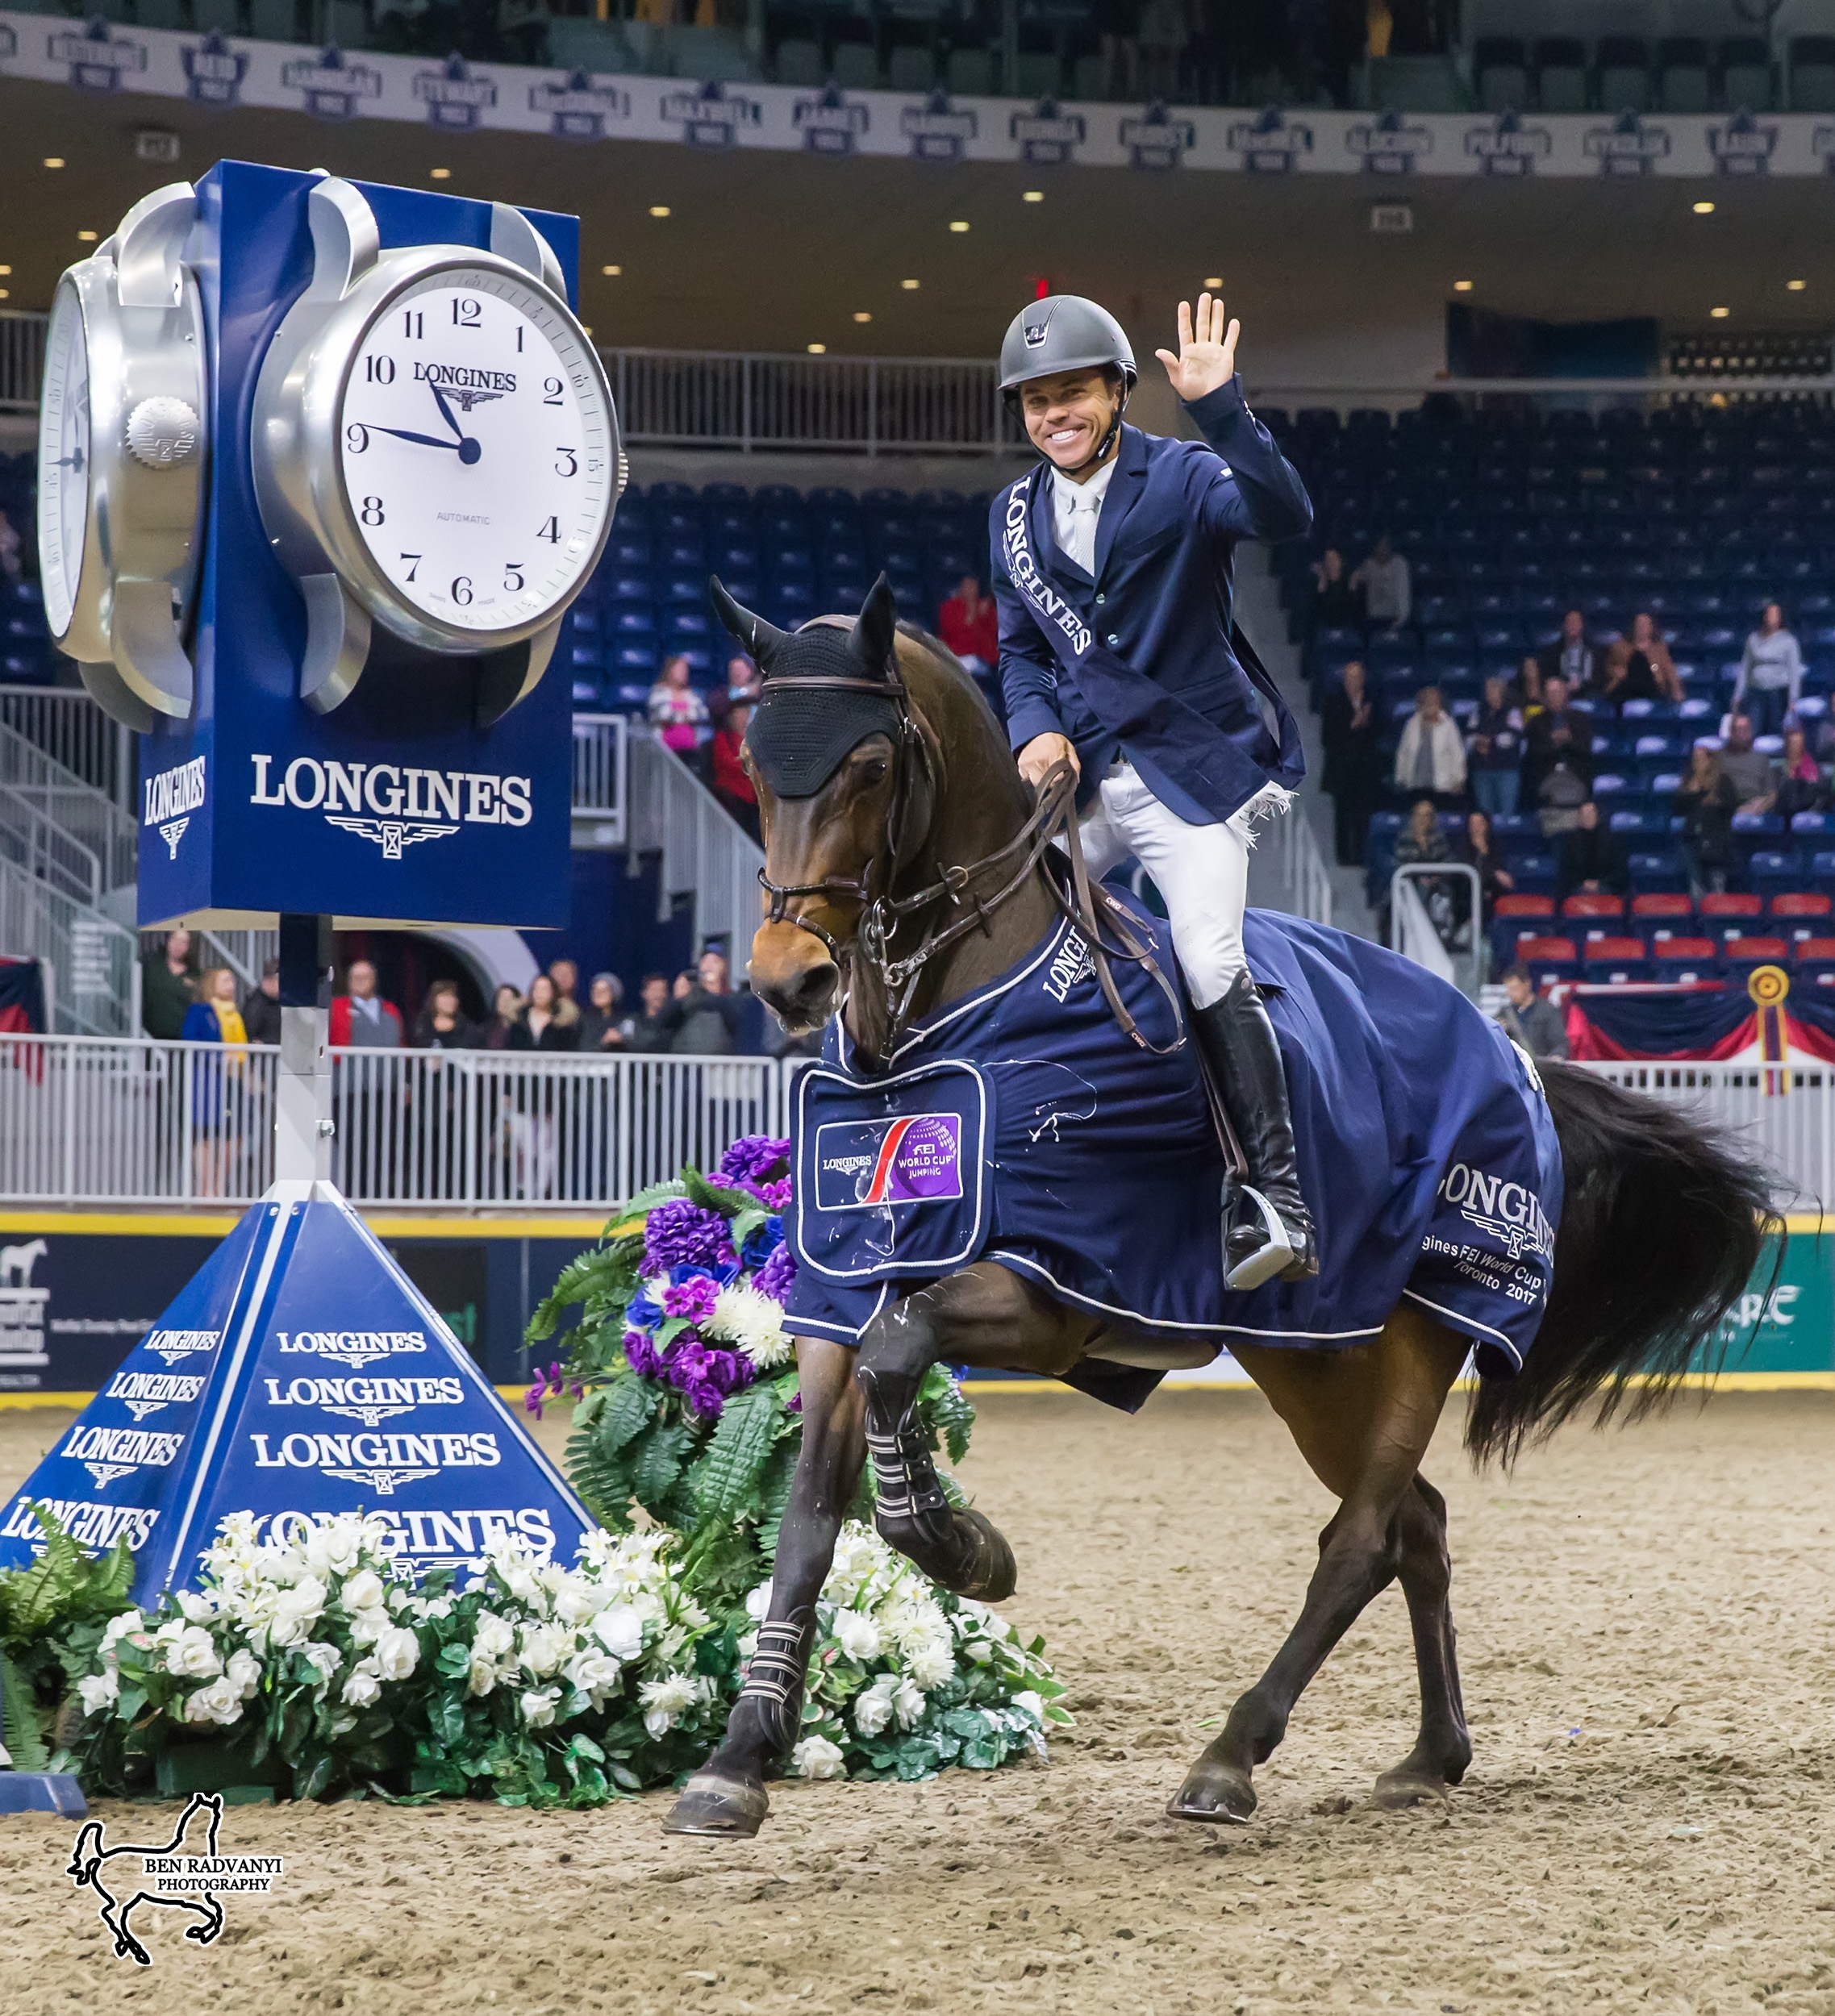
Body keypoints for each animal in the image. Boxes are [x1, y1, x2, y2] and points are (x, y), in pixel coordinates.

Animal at [663, 577, 1772, 1839]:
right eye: (753, 762)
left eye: (867, 766)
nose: (785, 978)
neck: (950, 1025)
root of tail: (1512, 1051)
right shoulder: (840, 1299)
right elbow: (806, 1516)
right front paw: (738, 1759)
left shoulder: (1050, 1288)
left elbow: (906, 1360)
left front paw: (964, 1549)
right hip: (1319, 1360)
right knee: (1419, 1524)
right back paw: (1429, 1754)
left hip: (1426, 1326)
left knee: (1361, 1540)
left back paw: (1230, 1755)